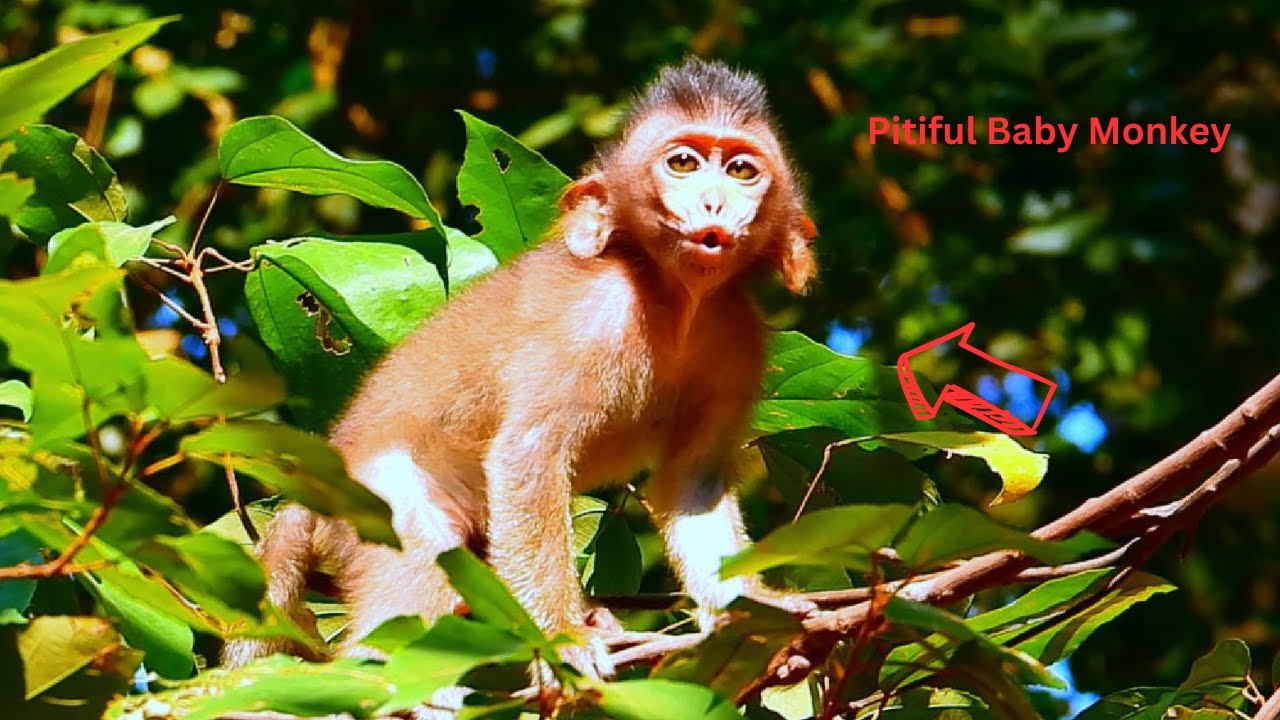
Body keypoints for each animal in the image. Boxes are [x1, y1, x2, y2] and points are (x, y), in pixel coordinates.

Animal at [223, 58, 818, 680]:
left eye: (741, 169)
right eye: (683, 163)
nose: (712, 204)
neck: (676, 300)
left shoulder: (740, 339)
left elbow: (690, 483)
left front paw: (757, 615)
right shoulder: (593, 319)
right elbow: (528, 456)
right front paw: (563, 639)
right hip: (378, 499)